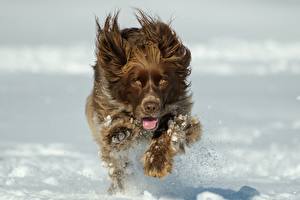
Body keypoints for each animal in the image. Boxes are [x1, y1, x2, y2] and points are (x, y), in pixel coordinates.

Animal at [85, 10, 202, 193]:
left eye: (163, 80)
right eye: (136, 81)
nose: (151, 106)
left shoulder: (181, 111)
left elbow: (172, 130)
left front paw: (156, 163)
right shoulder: (105, 108)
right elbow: (114, 131)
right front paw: (120, 132)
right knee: (117, 166)